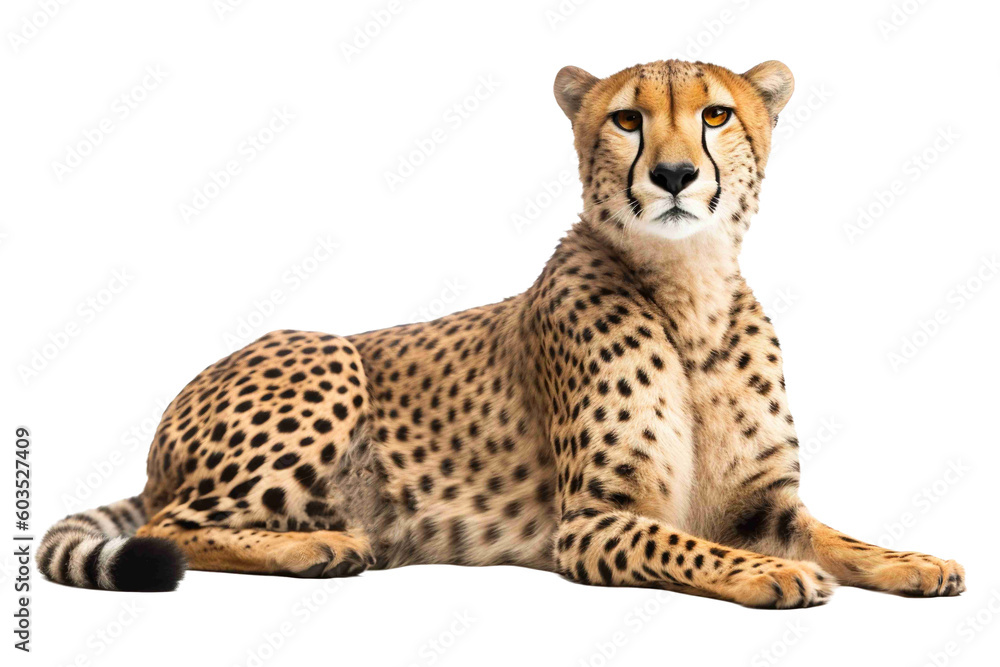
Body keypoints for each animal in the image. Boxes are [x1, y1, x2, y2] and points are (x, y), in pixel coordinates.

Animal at [38, 58, 965, 608]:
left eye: (715, 114)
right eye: (627, 120)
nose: (673, 175)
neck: (689, 290)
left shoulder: (761, 503)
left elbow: (839, 534)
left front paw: (916, 560)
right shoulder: (591, 522)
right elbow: (687, 542)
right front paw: (774, 572)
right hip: (324, 351)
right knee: (167, 525)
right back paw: (319, 546)